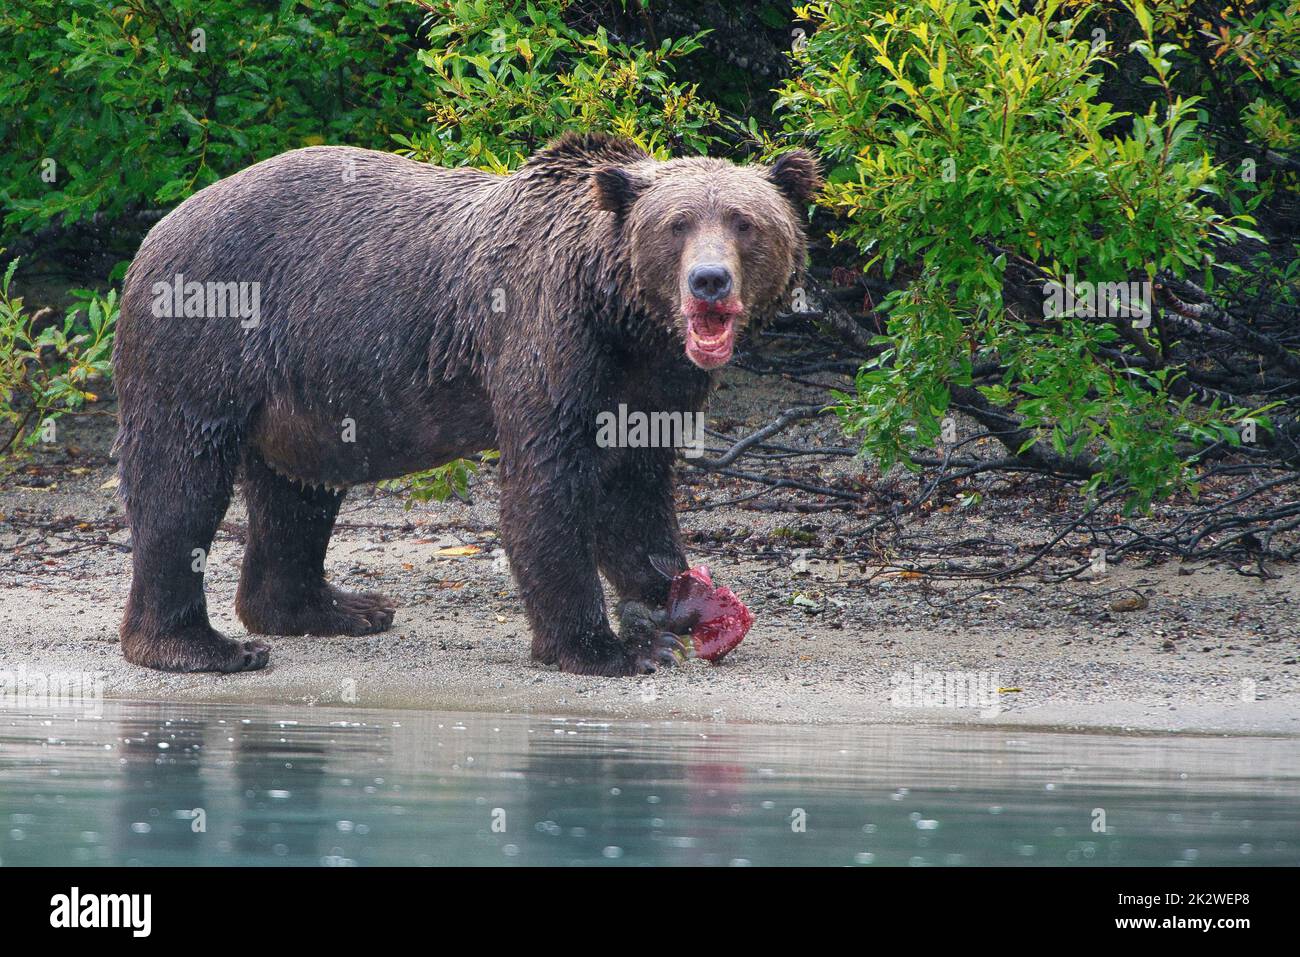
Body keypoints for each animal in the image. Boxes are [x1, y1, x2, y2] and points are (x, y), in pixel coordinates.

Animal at [111, 132, 821, 676]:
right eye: (677, 225)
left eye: (745, 222)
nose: (709, 280)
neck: (626, 316)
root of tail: (157, 229)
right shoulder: (548, 339)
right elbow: (548, 488)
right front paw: (607, 648)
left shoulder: (657, 382)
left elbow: (637, 488)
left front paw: (672, 603)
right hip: (207, 337)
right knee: (181, 483)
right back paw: (201, 647)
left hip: (302, 390)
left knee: (297, 492)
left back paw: (339, 607)